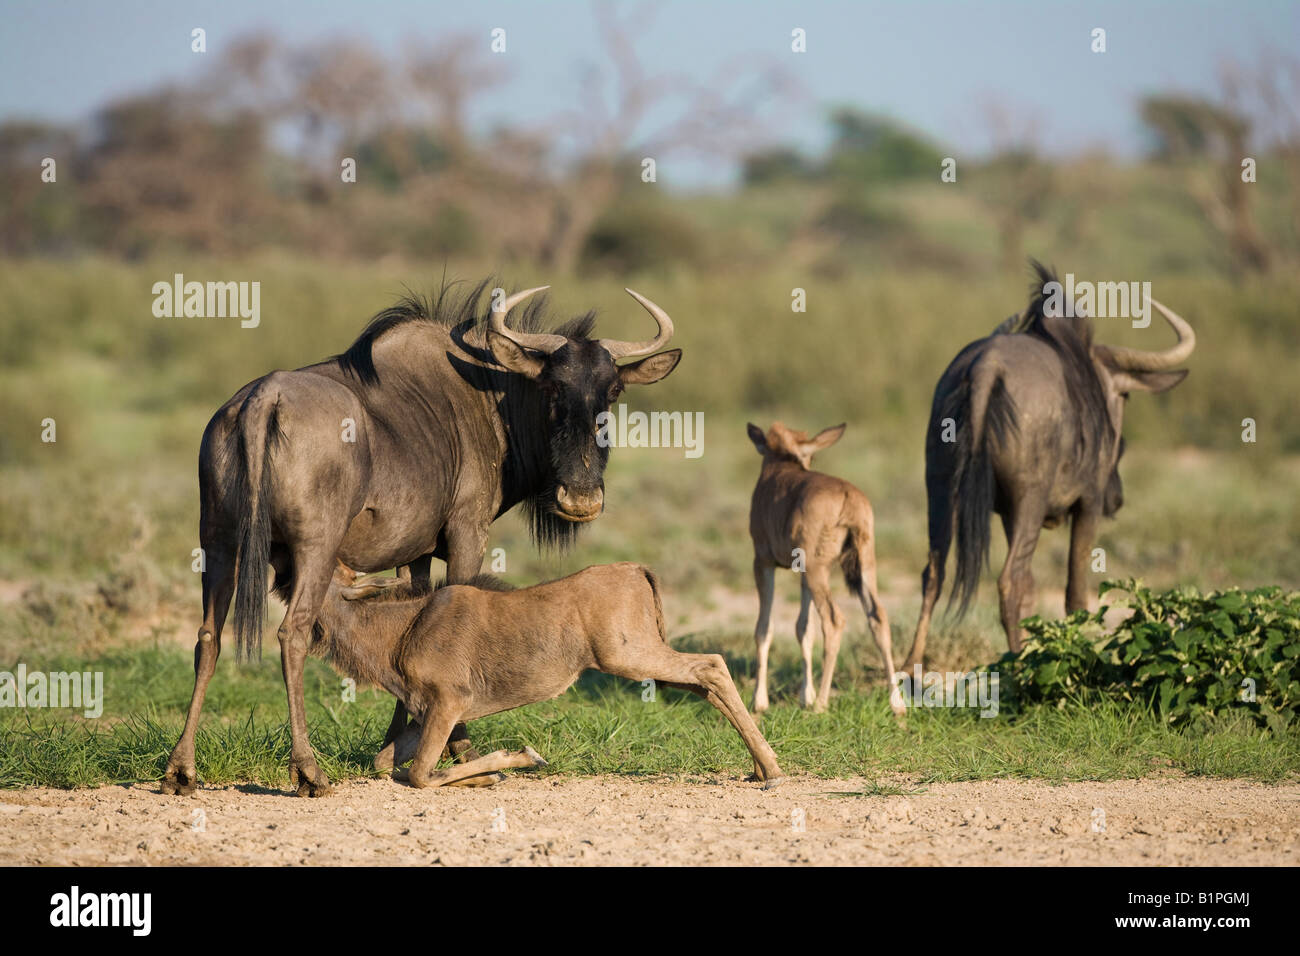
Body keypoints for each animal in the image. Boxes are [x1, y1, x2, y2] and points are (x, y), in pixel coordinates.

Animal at [315, 561, 786, 790]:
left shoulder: (449, 703)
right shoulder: (426, 712)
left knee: (713, 665)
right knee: (705, 682)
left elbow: (418, 774)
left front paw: (517, 759)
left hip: (629, 657)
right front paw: (486, 776)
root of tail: (637, 570)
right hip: (649, 659)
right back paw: (761, 769)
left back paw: (771, 769)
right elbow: (386, 764)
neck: (400, 632)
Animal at [747, 422, 905, 716]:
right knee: (878, 616)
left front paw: (759, 702)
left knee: (834, 621)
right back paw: (897, 704)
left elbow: (765, 627)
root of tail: (849, 497)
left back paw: (821, 703)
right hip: (863, 564)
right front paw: (804, 696)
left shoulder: (763, 562)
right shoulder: (801, 572)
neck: (781, 464)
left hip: (817, 570)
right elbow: (803, 629)